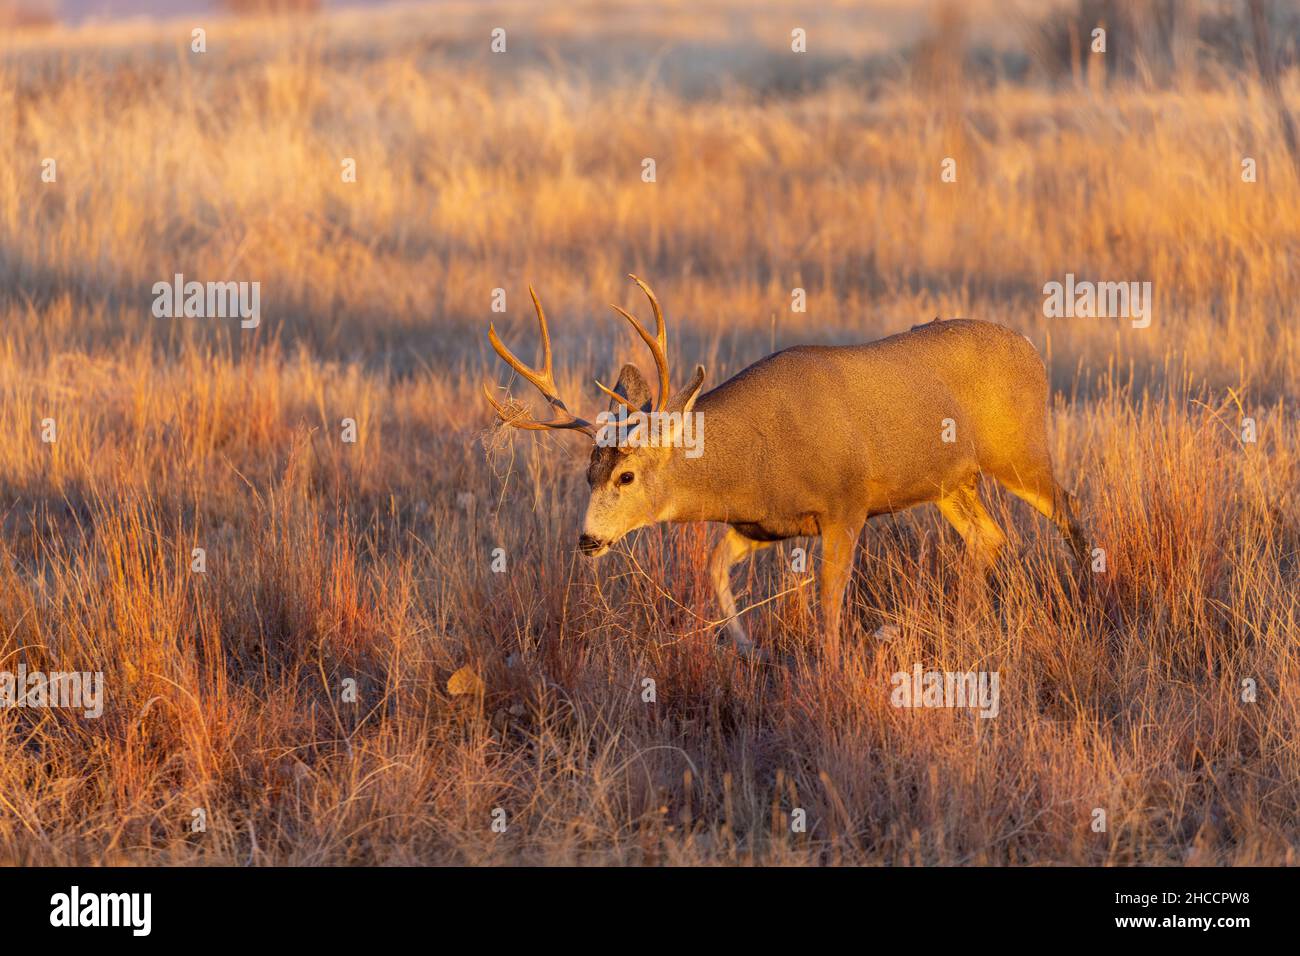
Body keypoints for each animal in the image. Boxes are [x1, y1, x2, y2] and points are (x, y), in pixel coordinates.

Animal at [483, 275, 1088, 657]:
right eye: (587, 475)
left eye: (626, 476)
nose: (587, 540)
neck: (757, 459)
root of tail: (1031, 348)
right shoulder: (762, 524)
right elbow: (713, 566)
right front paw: (748, 649)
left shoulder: (846, 505)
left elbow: (827, 601)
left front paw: (832, 672)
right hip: (951, 483)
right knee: (991, 537)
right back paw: (967, 623)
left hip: (1018, 448)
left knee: (1068, 507)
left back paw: (1090, 591)